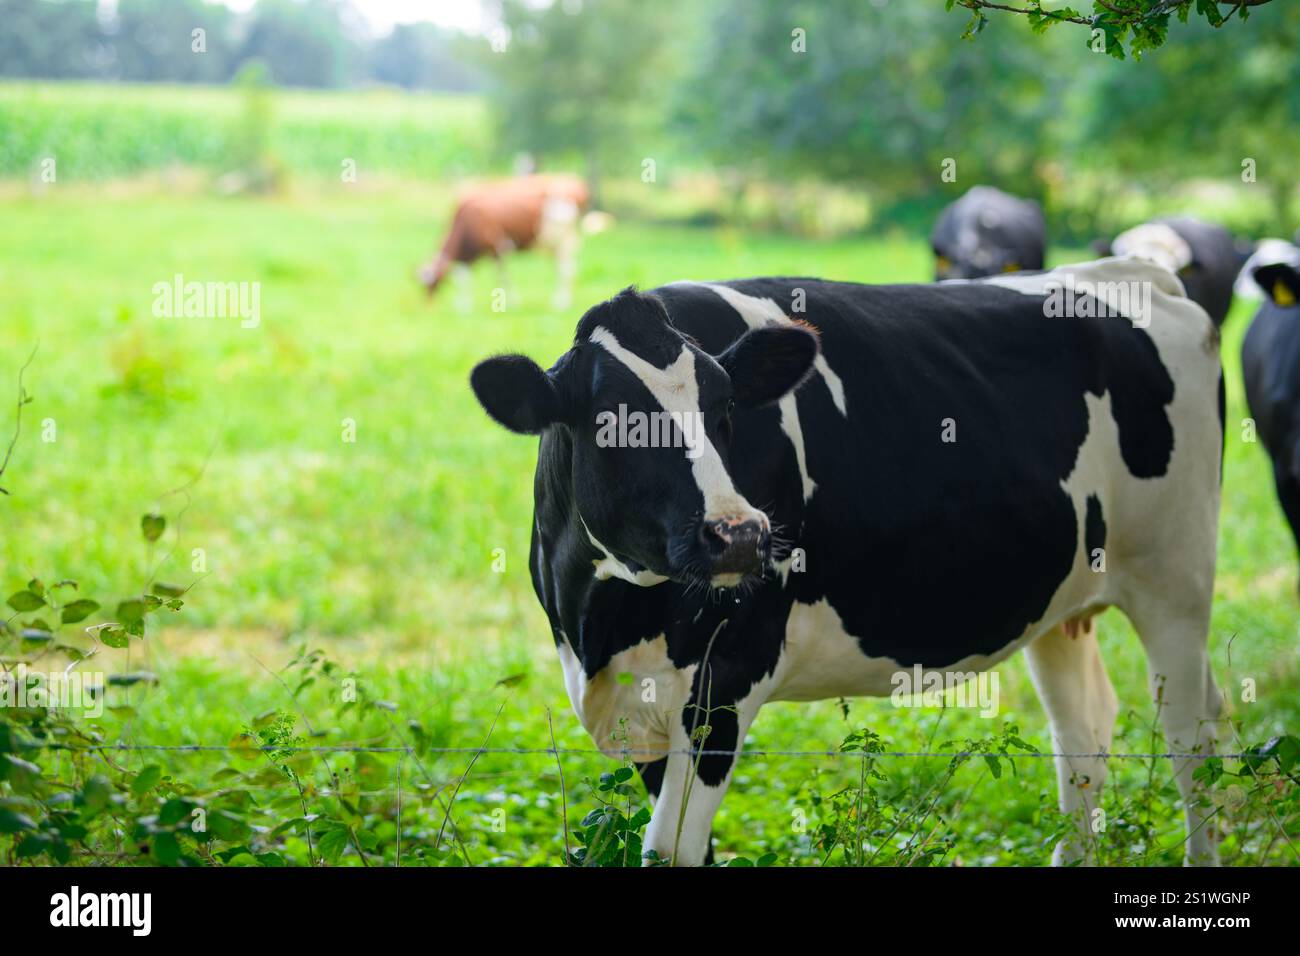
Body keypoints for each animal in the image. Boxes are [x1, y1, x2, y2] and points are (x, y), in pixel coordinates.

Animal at [419, 173, 594, 310]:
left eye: (433, 283)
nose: (429, 305)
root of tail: (575, 184)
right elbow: (465, 276)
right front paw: (463, 305)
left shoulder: (498, 245)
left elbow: (502, 276)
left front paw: (511, 302)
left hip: (565, 239)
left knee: (567, 269)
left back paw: (561, 303)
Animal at [470, 258, 1225, 866]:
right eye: (611, 421)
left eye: (725, 408)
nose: (739, 534)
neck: (604, 620)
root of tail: (1131, 271)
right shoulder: (642, 703)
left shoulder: (727, 678)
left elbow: (670, 850)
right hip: (1060, 603)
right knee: (1084, 738)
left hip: (1174, 583)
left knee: (1193, 744)